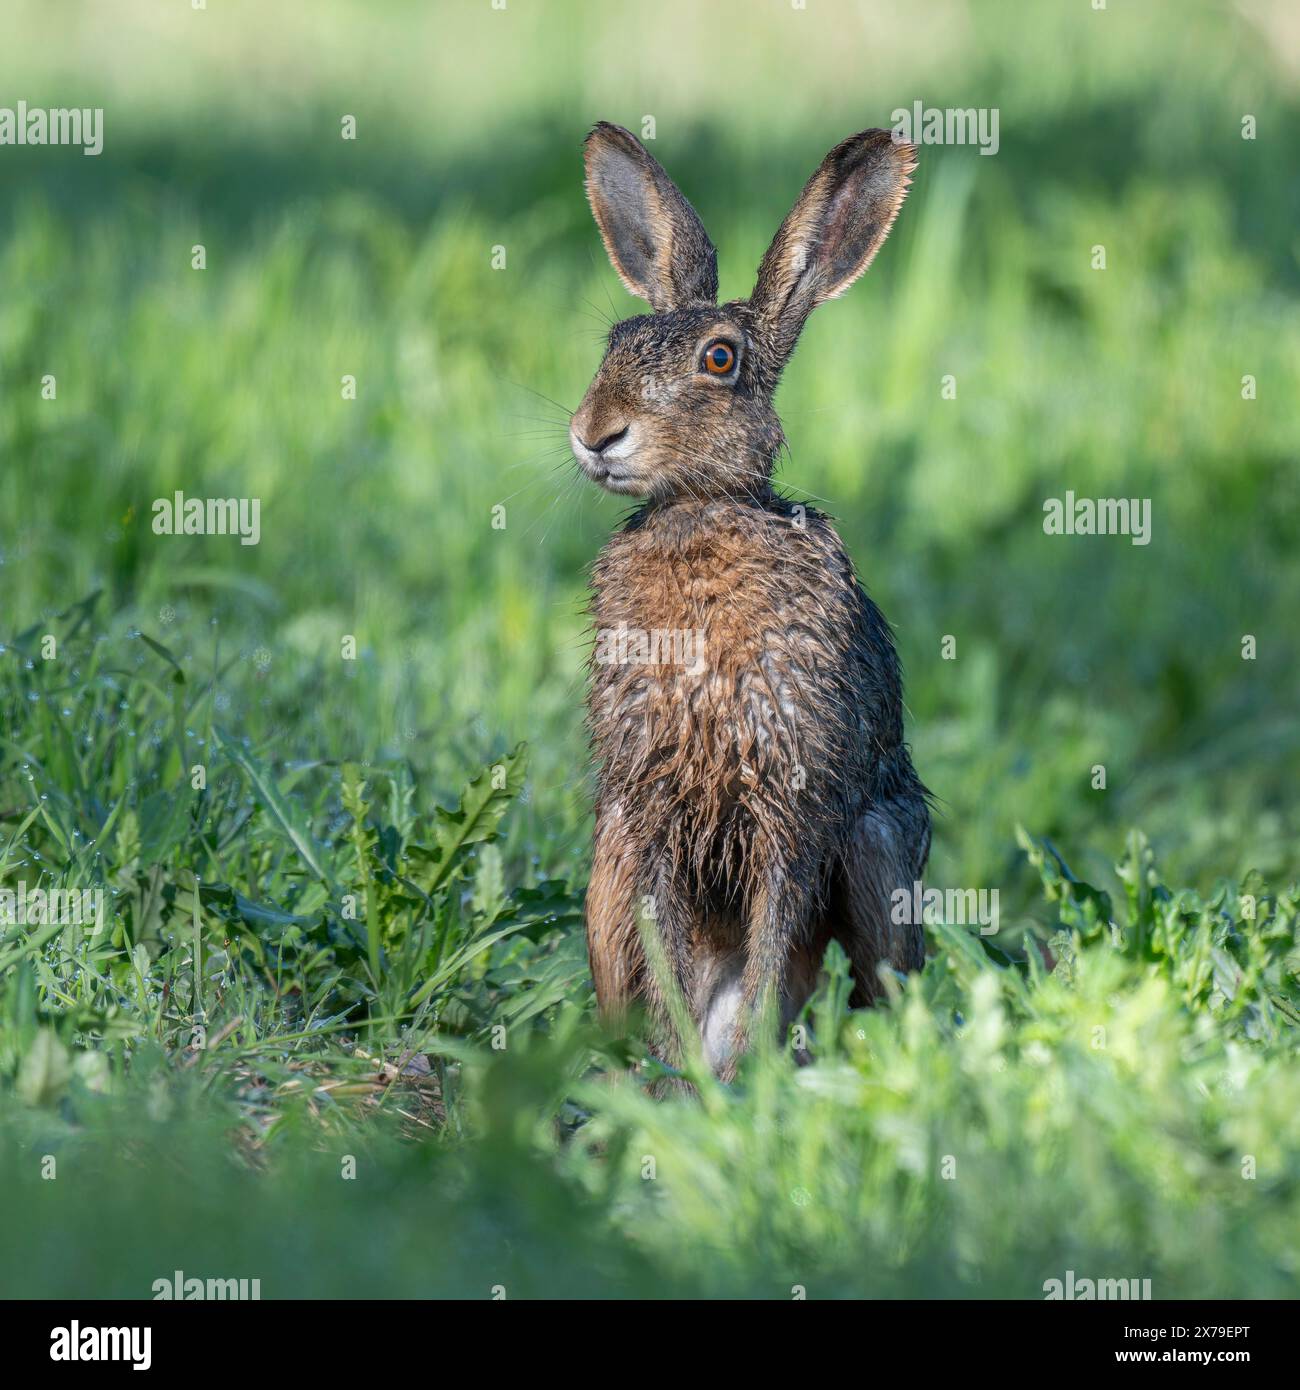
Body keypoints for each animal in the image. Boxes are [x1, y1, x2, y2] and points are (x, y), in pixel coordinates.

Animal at [571, 121, 931, 1080]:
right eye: (617, 340)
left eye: (720, 359)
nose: (594, 433)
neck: (703, 510)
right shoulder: (651, 815)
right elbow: (665, 960)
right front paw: (682, 1081)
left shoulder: (790, 809)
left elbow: (771, 946)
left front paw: (730, 1084)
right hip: (605, 866)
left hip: (879, 854)